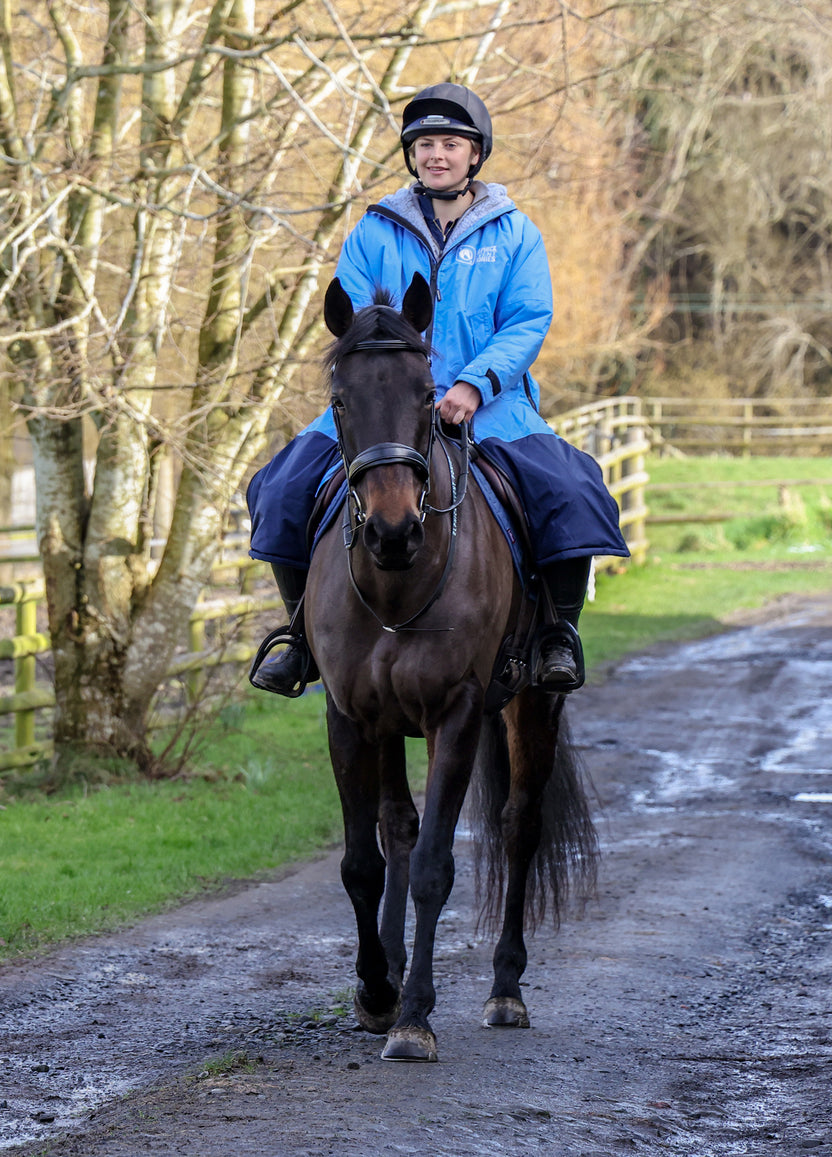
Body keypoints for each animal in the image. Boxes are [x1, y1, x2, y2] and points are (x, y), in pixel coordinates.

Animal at [304, 271, 597, 1062]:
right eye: (340, 400)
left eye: (427, 392)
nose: (393, 530)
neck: (396, 588)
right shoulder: (350, 715)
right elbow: (364, 861)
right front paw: (377, 991)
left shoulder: (457, 713)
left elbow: (437, 864)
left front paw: (413, 1017)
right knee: (396, 828)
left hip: (530, 705)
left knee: (519, 825)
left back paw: (504, 988)